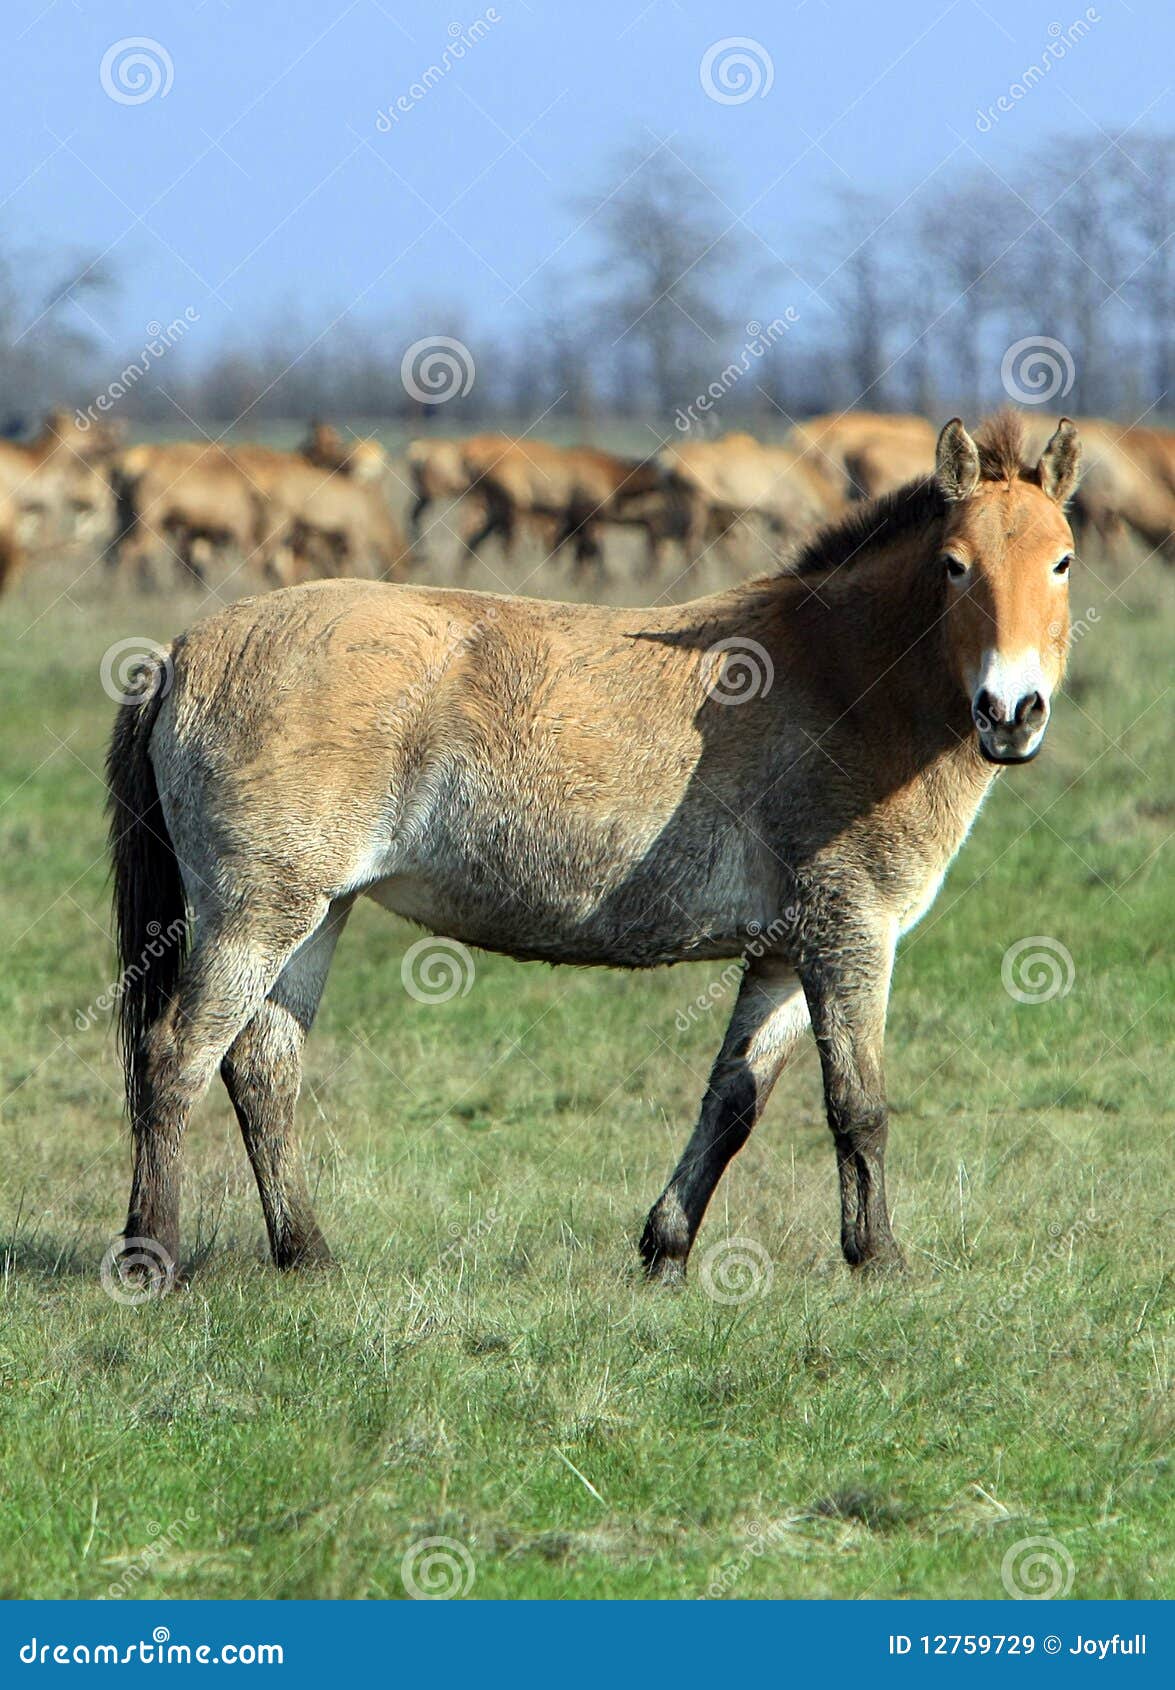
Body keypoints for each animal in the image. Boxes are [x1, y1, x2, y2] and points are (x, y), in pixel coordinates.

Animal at [105, 412, 1080, 1284]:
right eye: (954, 565)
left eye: (1061, 561)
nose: (1010, 710)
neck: (848, 675)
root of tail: (185, 650)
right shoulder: (853, 933)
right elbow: (857, 1104)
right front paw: (878, 1259)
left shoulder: (782, 953)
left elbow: (733, 1101)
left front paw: (666, 1250)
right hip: (257, 913)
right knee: (174, 1060)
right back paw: (152, 1255)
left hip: (317, 913)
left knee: (263, 1070)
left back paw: (306, 1255)